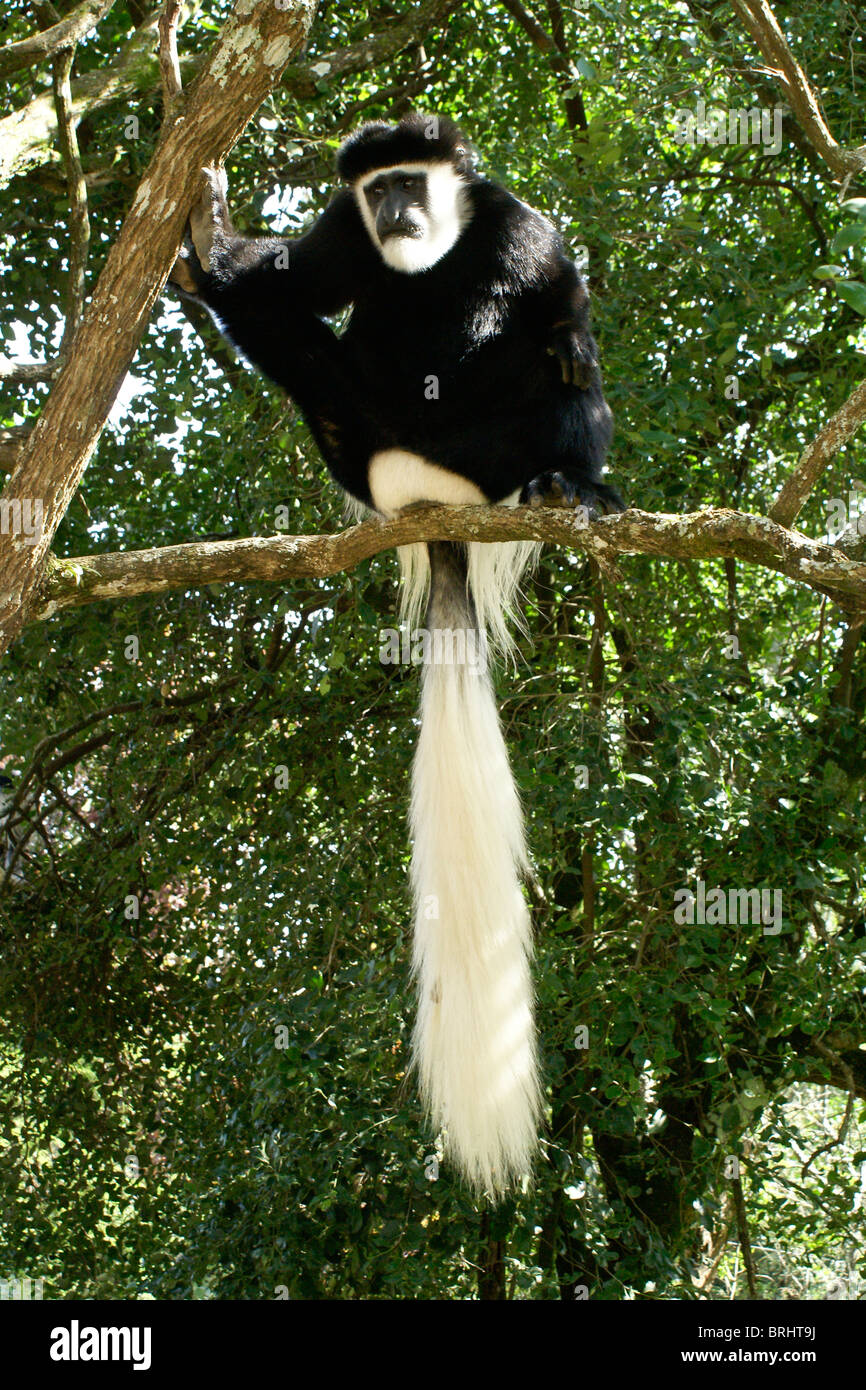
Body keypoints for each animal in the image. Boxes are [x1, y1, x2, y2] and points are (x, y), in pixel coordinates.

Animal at [168, 112, 622, 1197]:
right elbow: (294, 281)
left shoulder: (515, 228)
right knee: (302, 346)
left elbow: (560, 311)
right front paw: (214, 232)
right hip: (367, 446)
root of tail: (431, 501)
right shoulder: (343, 234)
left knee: (561, 383)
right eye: (378, 194)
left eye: (413, 183)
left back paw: (571, 486)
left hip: (492, 451)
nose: (400, 216)